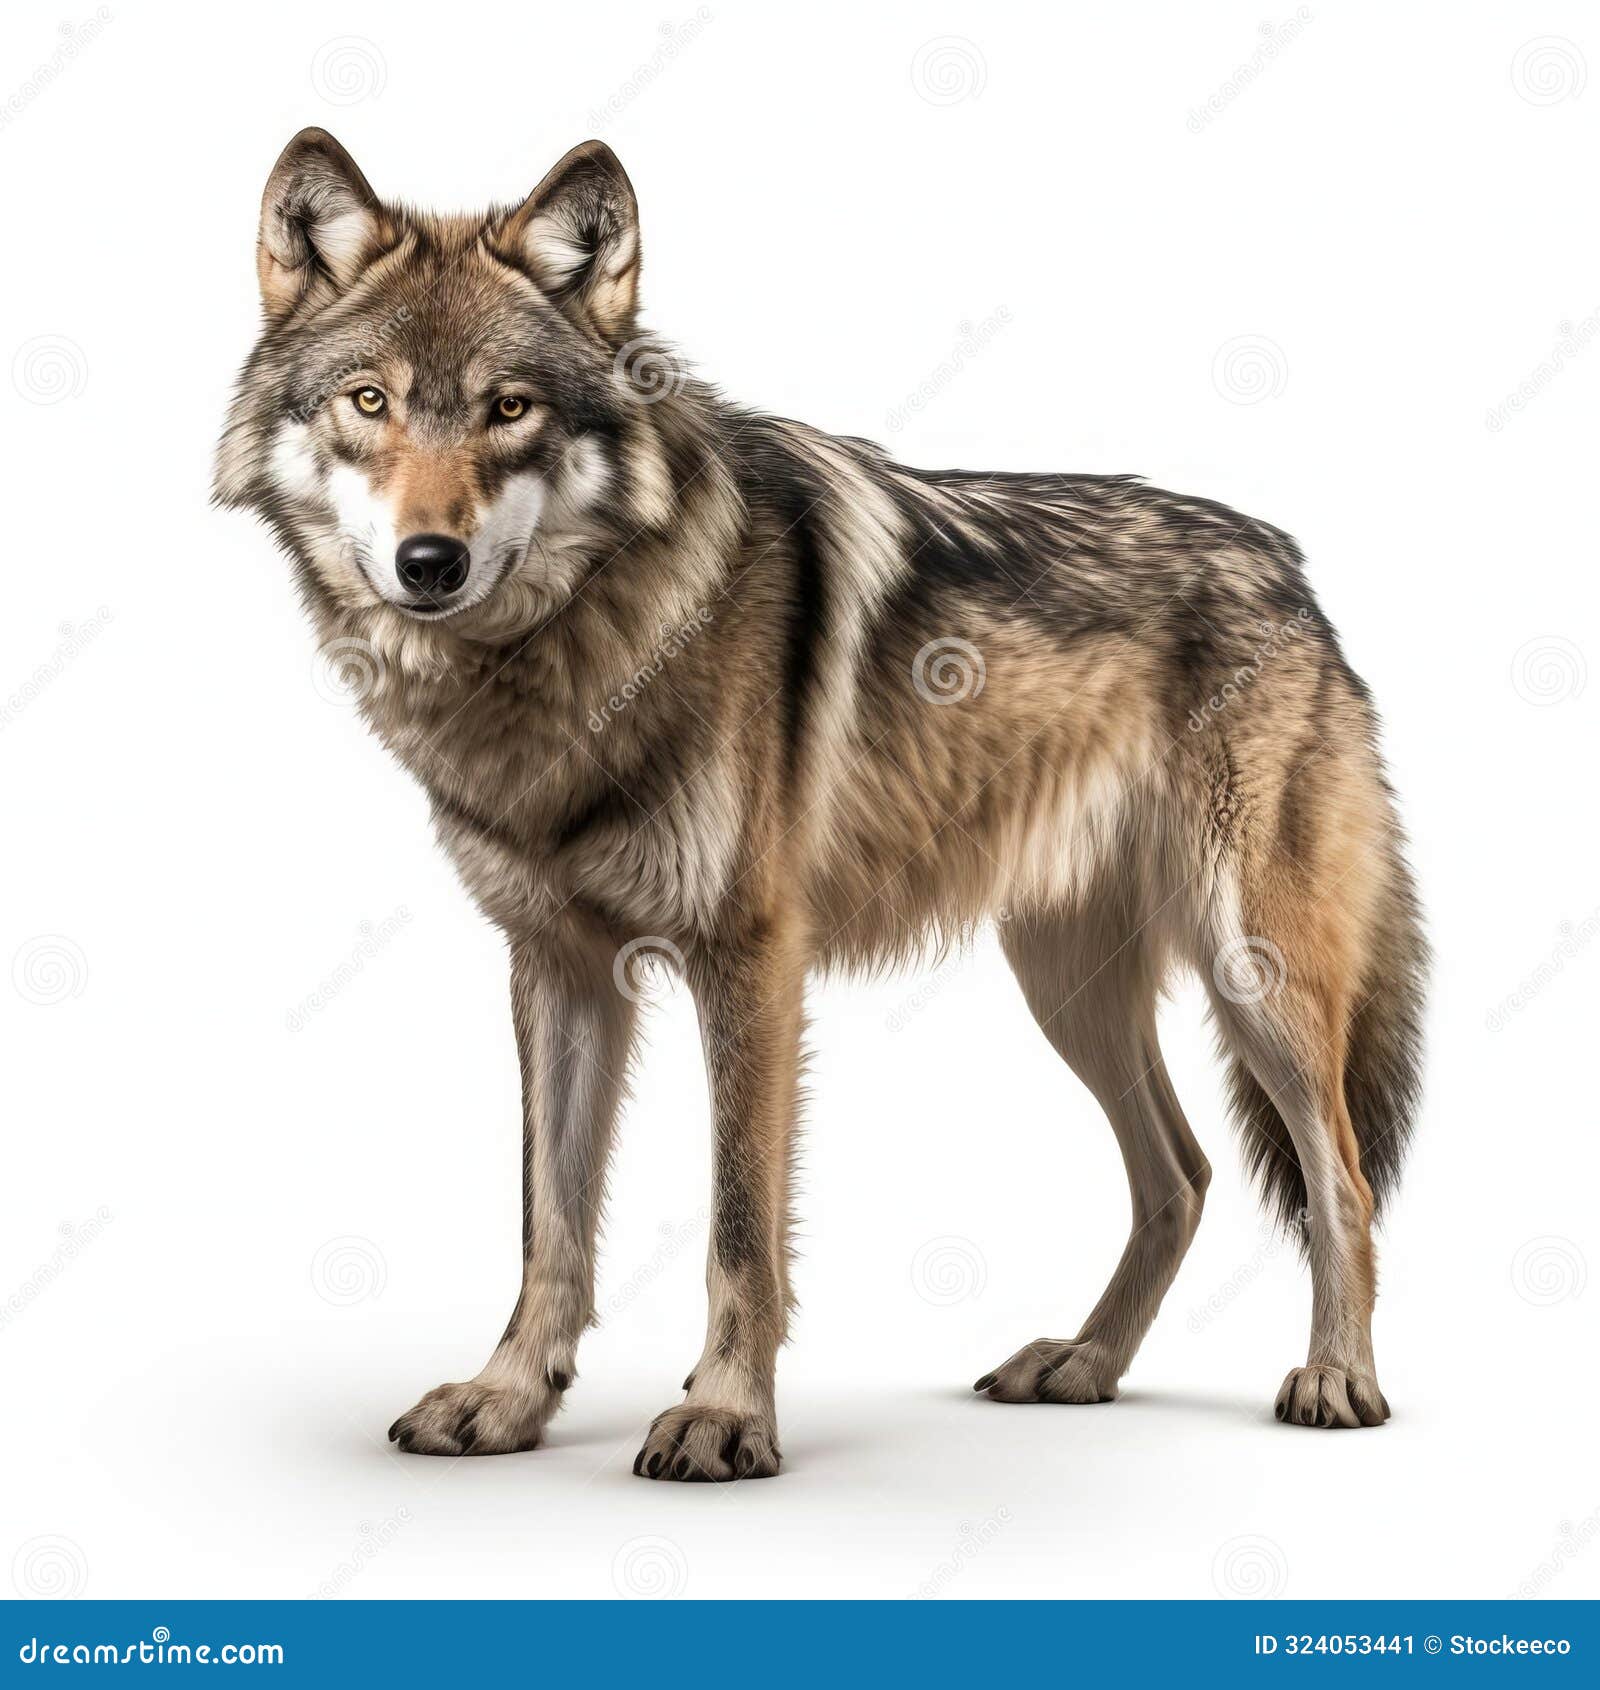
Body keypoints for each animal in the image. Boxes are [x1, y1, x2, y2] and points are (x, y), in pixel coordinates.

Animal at [215, 130, 1427, 1479]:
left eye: (509, 409)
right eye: (367, 402)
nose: (430, 562)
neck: (562, 666)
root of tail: (1291, 569)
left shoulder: (749, 958)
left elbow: (740, 1226)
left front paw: (725, 1416)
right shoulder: (557, 966)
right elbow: (550, 1222)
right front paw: (510, 1398)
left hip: (1250, 969)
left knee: (1337, 1179)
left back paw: (1336, 1378)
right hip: (1064, 985)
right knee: (1184, 1172)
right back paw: (1081, 1364)